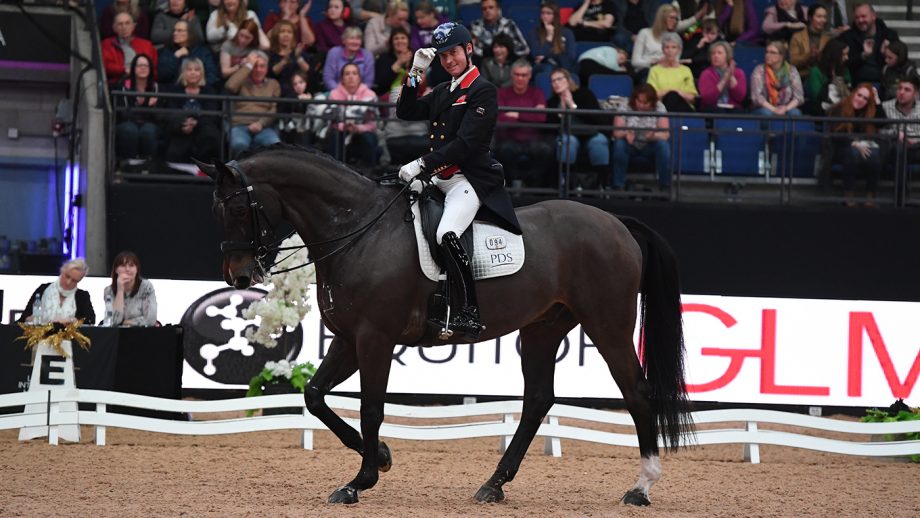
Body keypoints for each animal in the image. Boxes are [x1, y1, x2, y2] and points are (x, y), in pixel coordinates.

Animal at [200, 144, 693, 508]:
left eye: (239, 209)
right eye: (217, 210)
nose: (238, 277)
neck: (359, 231)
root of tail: (616, 223)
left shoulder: (375, 338)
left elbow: (371, 408)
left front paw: (360, 481)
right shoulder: (348, 338)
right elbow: (316, 396)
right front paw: (380, 456)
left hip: (607, 323)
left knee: (636, 391)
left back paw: (641, 487)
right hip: (542, 328)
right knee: (537, 400)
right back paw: (494, 485)